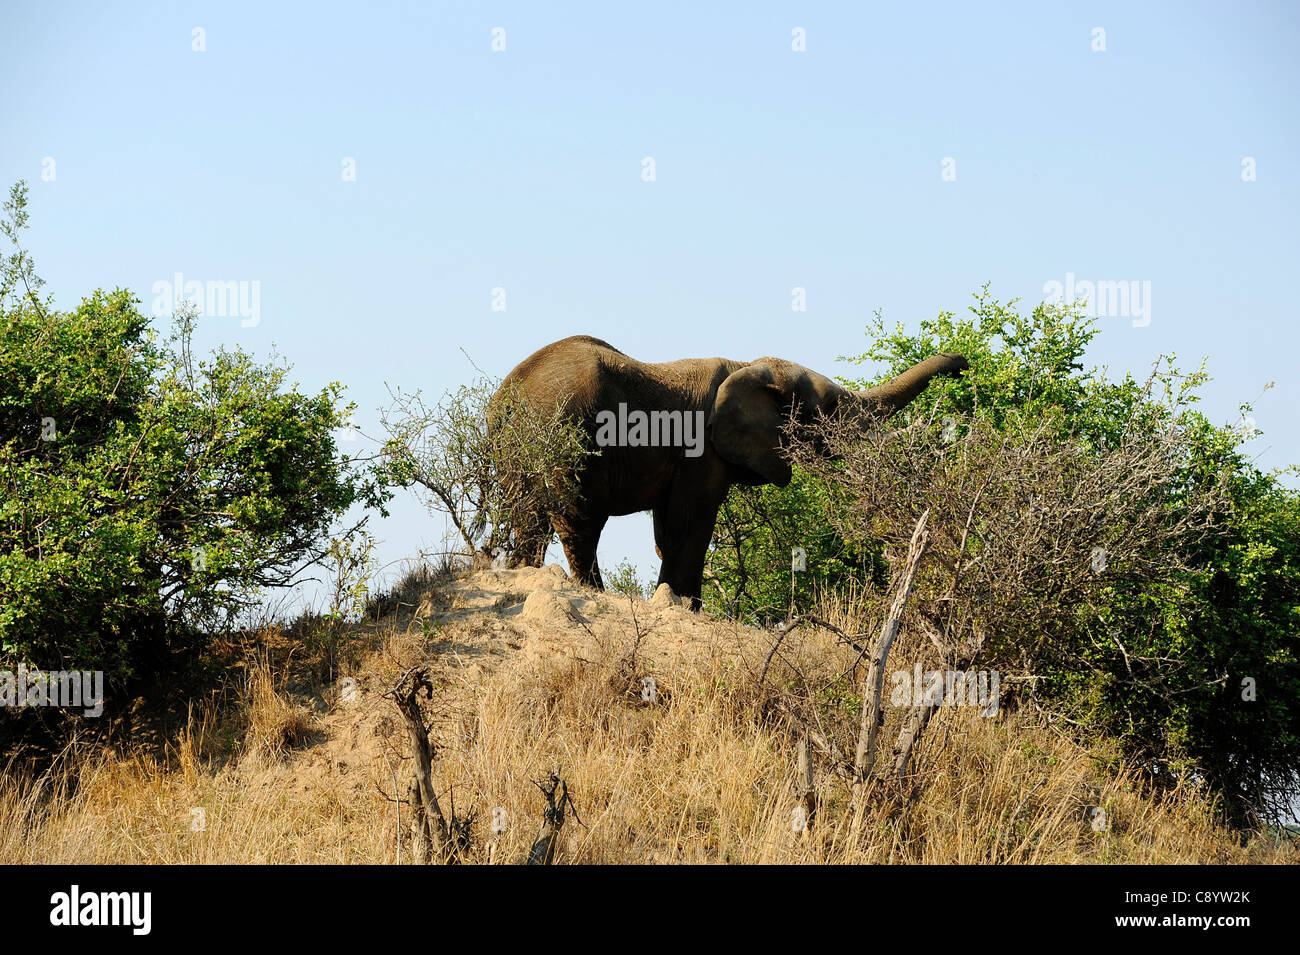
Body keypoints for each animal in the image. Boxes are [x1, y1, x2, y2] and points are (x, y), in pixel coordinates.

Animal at [491, 335, 968, 608]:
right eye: (830, 407)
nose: (962, 363)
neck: (746, 367)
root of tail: (507, 395)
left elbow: (670, 530)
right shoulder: (702, 450)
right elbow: (689, 526)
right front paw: (684, 606)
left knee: (530, 519)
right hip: (568, 431)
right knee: (579, 519)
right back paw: (594, 593)